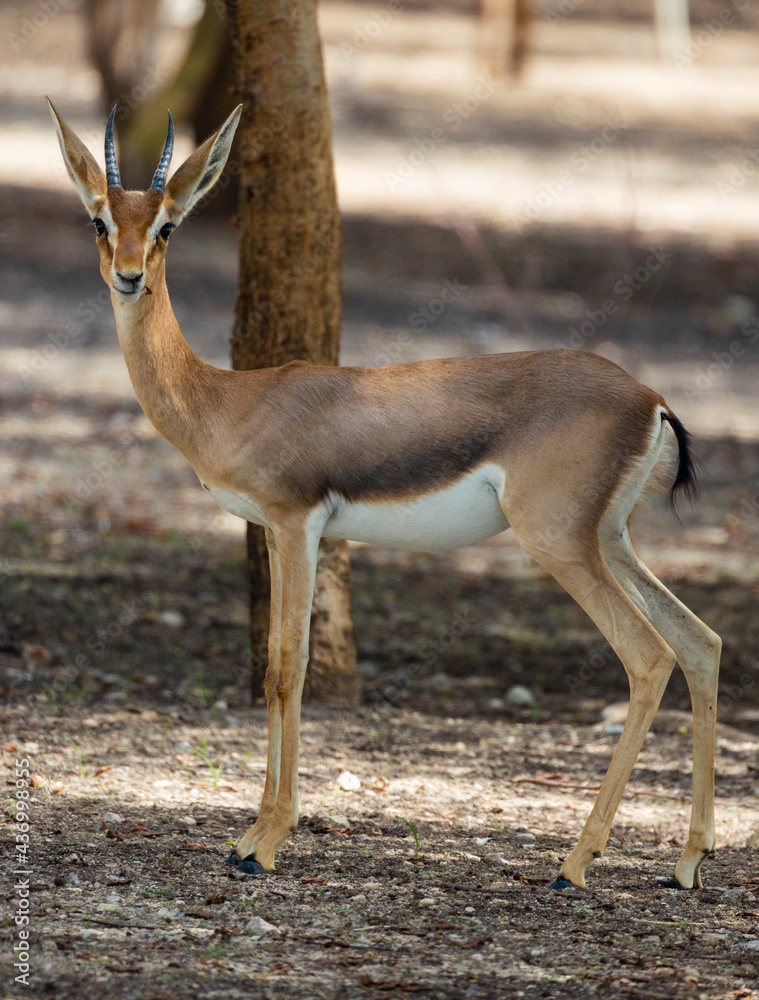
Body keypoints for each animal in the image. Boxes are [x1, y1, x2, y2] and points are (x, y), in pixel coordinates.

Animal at [48, 98, 721, 891]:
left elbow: (288, 668)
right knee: (699, 640)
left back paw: (573, 865)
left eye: (166, 227)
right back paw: (688, 861)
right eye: (99, 220)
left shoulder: (295, 523)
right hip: (609, 540)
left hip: (557, 541)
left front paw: (265, 843)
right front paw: (248, 834)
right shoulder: (274, 532)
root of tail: (649, 399)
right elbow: (274, 667)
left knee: (648, 656)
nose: (128, 277)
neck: (226, 399)